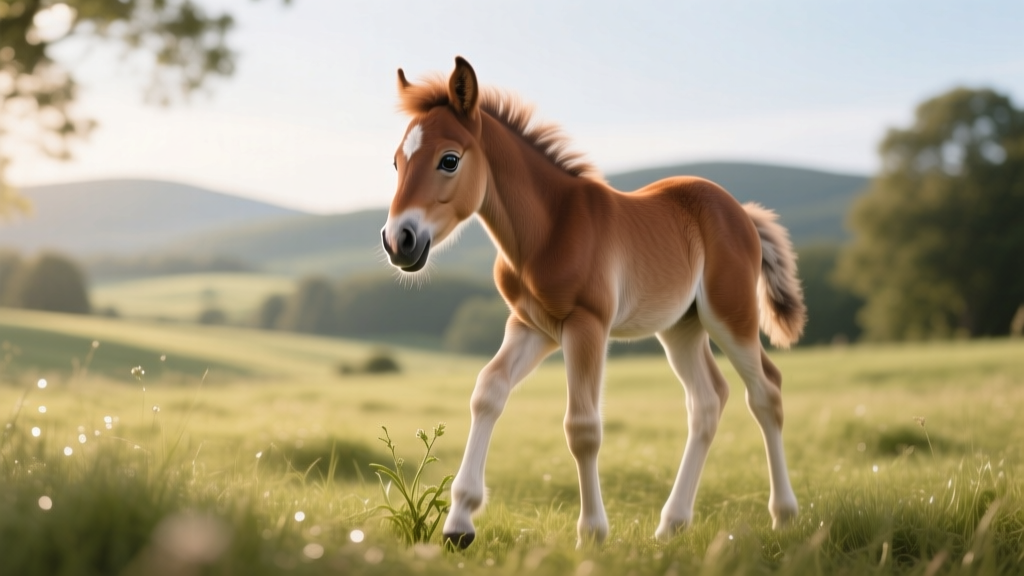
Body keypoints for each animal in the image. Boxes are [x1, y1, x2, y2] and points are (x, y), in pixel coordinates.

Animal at [381, 57, 806, 549]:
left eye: (449, 160)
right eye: (395, 162)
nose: (398, 240)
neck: (547, 230)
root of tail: (743, 213)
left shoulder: (587, 325)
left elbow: (582, 426)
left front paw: (592, 535)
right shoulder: (531, 326)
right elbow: (488, 391)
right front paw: (459, 525)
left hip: (730, 315)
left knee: (766, 391)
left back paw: (784, 516)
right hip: (681, 326)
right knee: (707, 400)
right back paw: (671, 525)